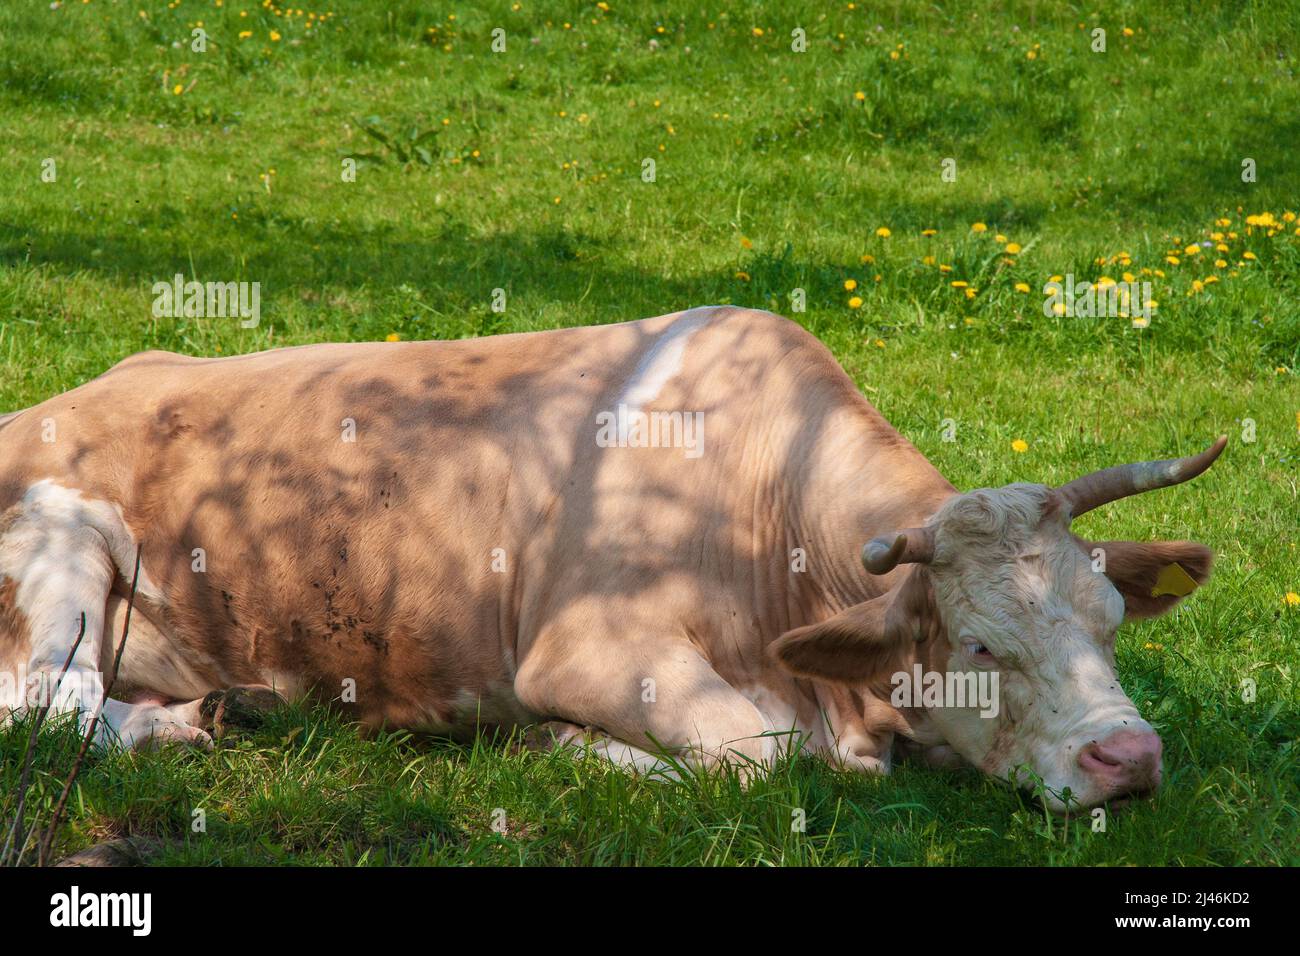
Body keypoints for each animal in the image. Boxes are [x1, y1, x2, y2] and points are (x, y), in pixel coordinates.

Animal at [0, 306, 1224, 810]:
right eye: (977, 644)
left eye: (1111, 621)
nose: (1129, 758)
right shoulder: (587, 648)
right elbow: (759, 753)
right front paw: (562, 748)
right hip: (62, 540)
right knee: (47, 706)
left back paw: (199, 714)